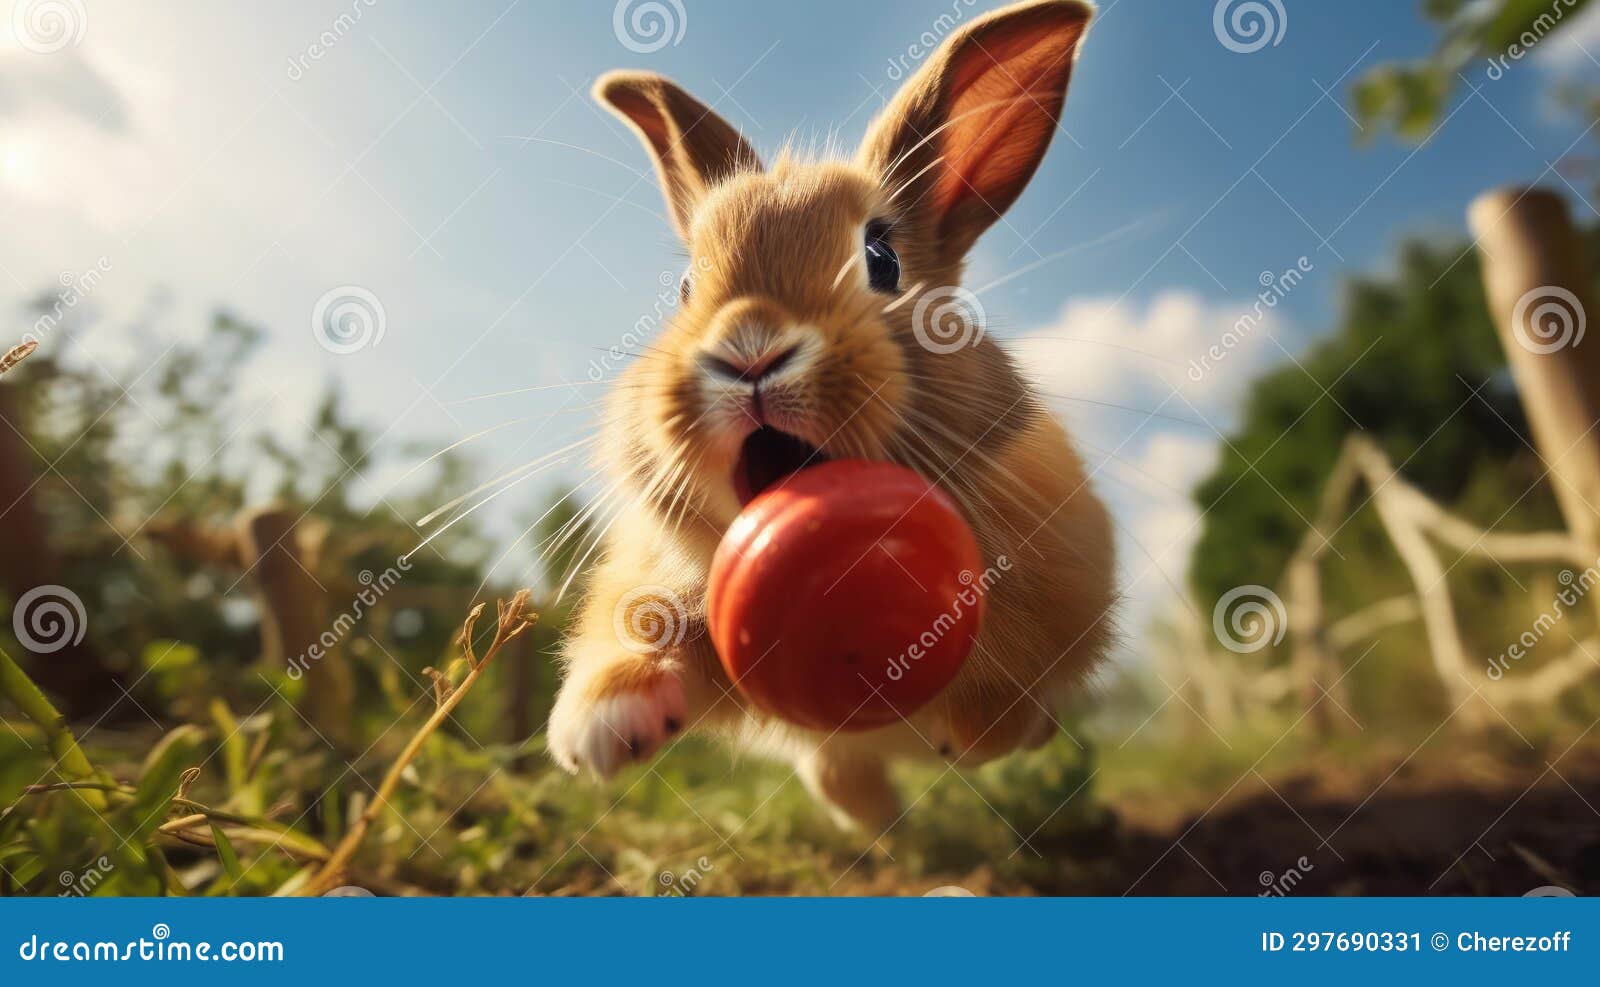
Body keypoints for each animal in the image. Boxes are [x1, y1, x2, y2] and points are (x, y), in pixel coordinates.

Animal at [548, 0, 1115, 832]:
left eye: (882, 259)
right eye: (685, 288)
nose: (750, 349)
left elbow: (1004, 704)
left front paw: (973, 731)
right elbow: (651, 634)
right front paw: (598, 727)